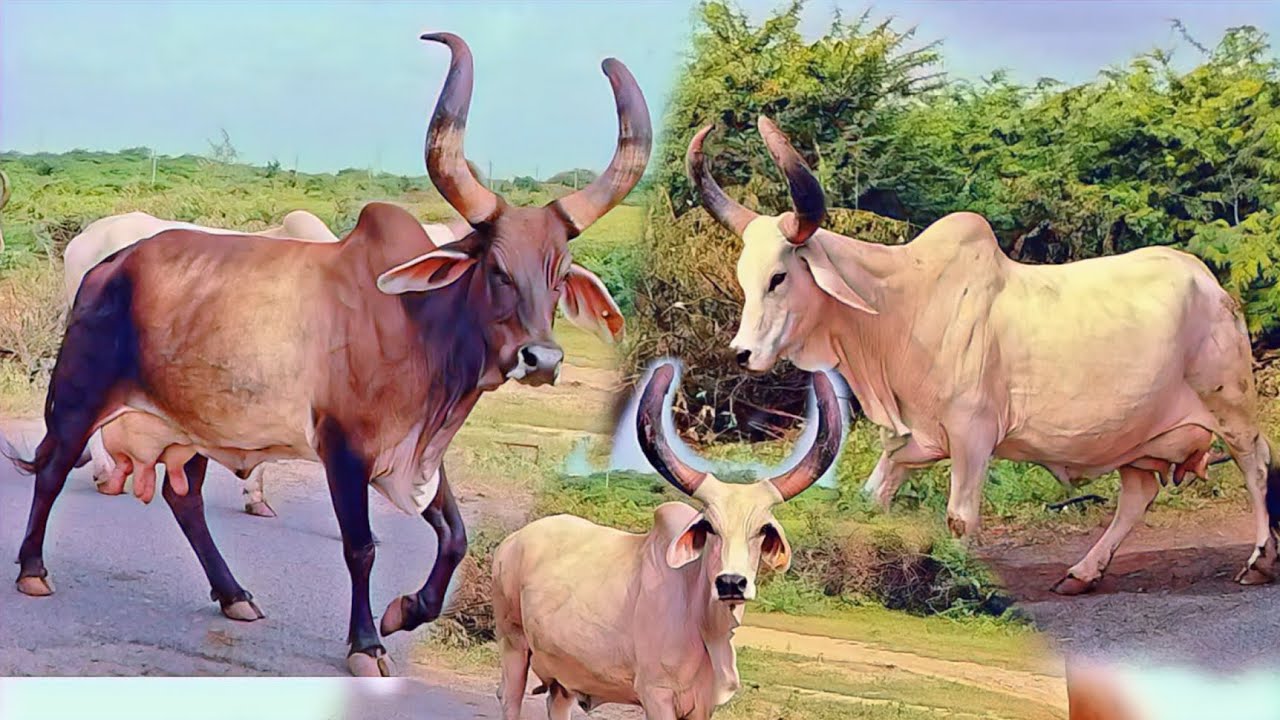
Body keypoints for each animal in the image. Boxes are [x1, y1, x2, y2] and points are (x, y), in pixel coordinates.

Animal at [491, 362, 844, 720]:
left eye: (761, 530)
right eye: (710, 527)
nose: (731, 583)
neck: (701, 618)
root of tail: (513, 542)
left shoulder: (702, 705)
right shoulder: (656, 694)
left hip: (564, 674)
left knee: (556, 702)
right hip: (514, 644)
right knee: (510, 697)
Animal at [686, 116, 1280, 595]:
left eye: (779, 277)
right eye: (743, 277)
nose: (742, 354)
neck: (903, 307)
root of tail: (1214, 287)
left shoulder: (973, 436)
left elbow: (959, 518)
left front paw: (959, 583)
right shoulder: (914, 437)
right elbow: (873, 494)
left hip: (1229, 405)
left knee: (1254, 463)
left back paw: (1259, 560)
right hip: (1138, 438)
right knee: (1139, 494)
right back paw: (1082, 573)